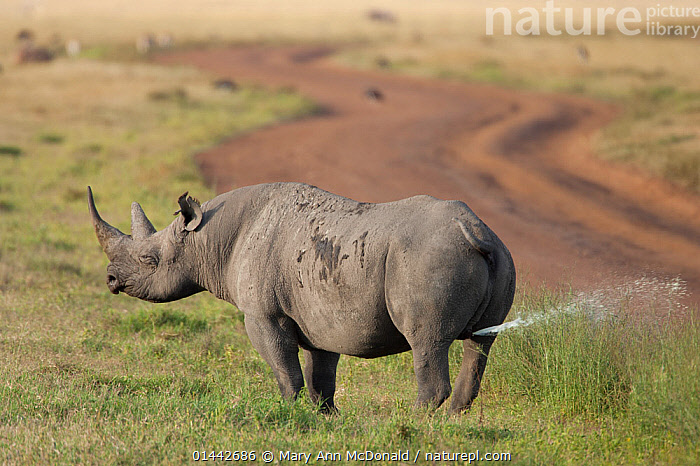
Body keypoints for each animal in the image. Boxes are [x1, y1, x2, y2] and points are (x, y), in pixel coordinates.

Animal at [88, 182, 515, 413]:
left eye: (148, 260)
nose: (110, 279)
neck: (208, 239)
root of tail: (473, 230)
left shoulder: (263, 315)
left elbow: (285, 370)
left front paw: (289, 416)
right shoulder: (319, 318)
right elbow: (320, 379)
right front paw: (327, 420)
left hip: (426, 258)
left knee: (427, 342)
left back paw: (414, 420)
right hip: (498, 254)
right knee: (481, 343)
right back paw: (450, 421)